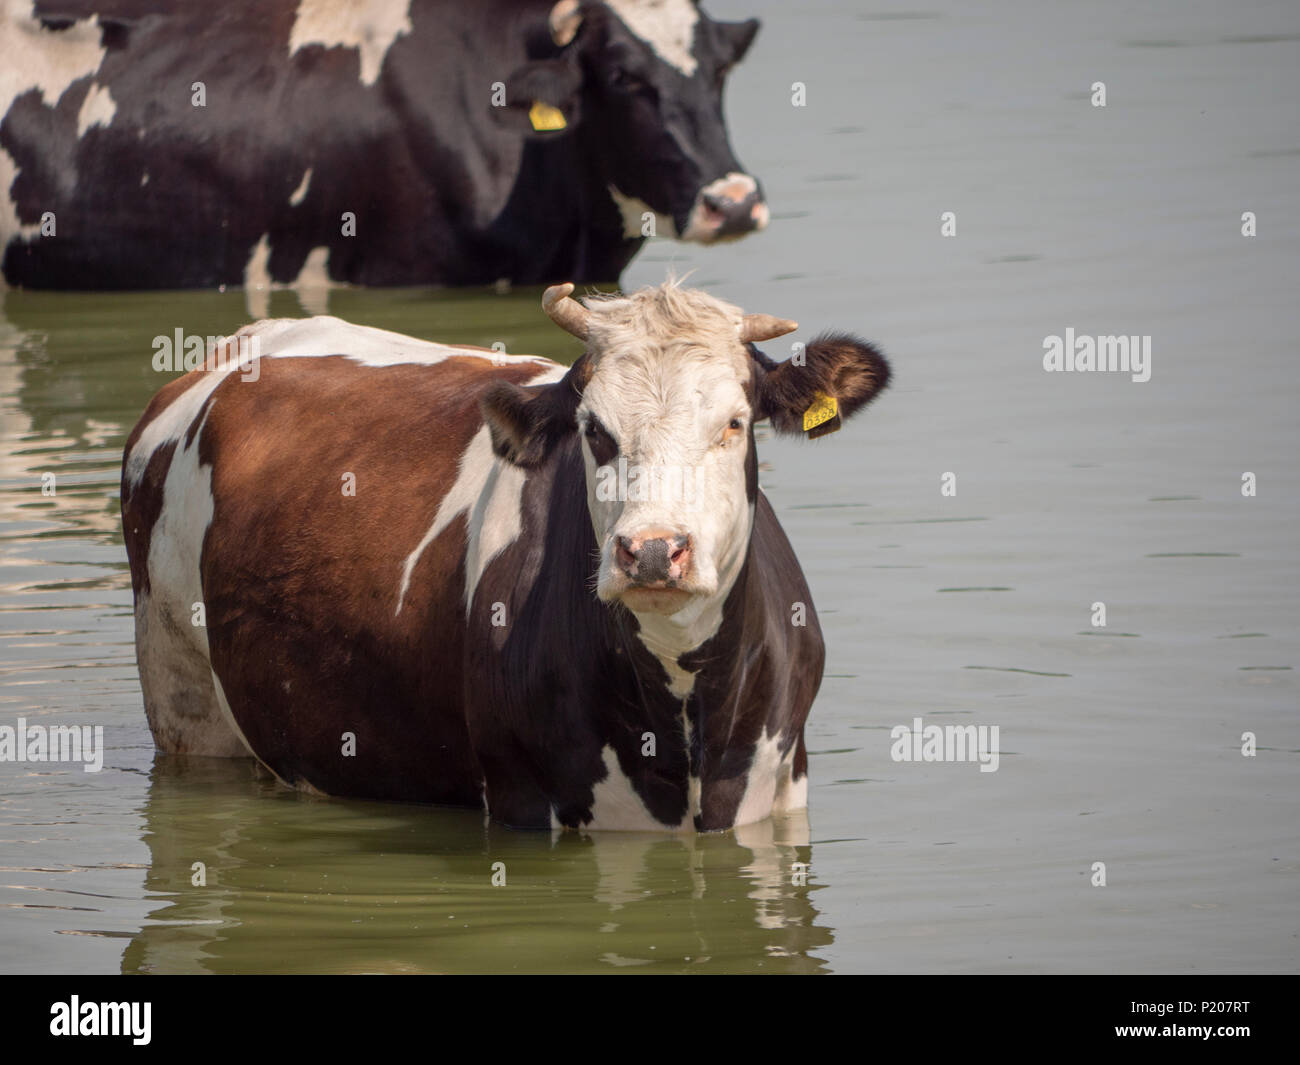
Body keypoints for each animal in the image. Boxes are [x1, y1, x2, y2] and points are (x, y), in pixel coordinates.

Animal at [120, 279, 891, 830]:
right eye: (594, 429)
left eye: (734, 422)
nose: (651, 552)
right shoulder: (522, 797)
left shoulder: (780, 789)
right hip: (181, 697)